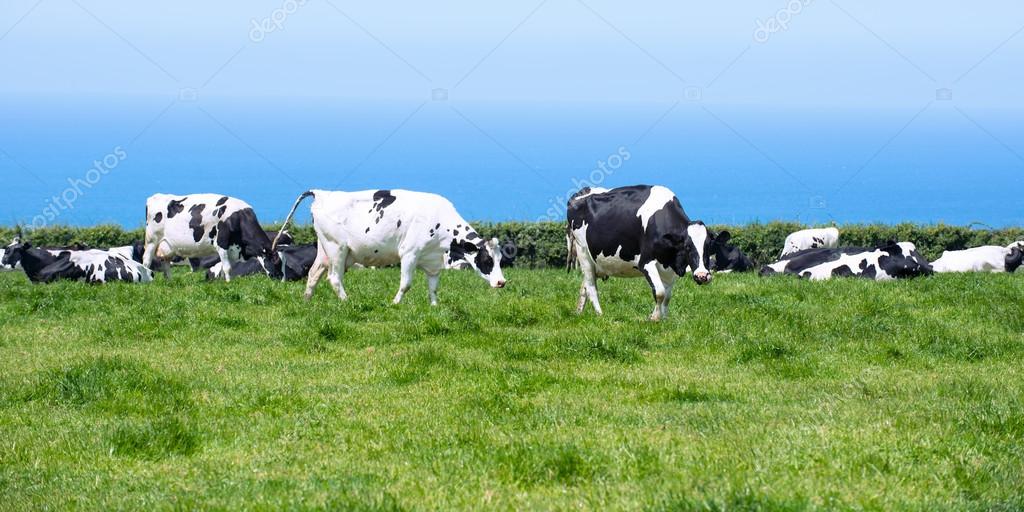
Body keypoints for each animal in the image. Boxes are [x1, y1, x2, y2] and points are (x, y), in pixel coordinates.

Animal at [143, 194, 281, 281]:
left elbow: (226, 268)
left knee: (165, 262)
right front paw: (228, 283)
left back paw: (170, 281)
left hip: (168, 245)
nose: (280, 278)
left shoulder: (233, 249)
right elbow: (227, 267)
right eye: (275, 261)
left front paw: (222, 282)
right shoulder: (221, 243)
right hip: (152, 239)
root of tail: (155, 197)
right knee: (146, 260)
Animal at [275, 189, 506, 305]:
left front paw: (434, 307)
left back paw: (306, 301)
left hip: (325, 250)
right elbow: (406, 284)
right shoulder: (409, 254)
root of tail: (323, 193)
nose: (501, 282)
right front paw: (395, 303)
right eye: (487, 260)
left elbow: (433, 287)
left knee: (314, 274)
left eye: (500, 260)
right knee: (333, 278)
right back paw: (347, 302)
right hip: (337, 248)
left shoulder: (432, 262)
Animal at [566, 185, 721, 321]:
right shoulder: (646, 262)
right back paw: (600, 314)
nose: (702, 276)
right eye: (687, 247)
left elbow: (667, 296)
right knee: (591, 287)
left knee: (584, 286)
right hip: (583, 252)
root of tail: (580, 193)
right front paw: (654, 318)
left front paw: (664, 318)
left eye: (708, 246)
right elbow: (659, 292)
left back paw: (578, 311)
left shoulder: (669, 268)